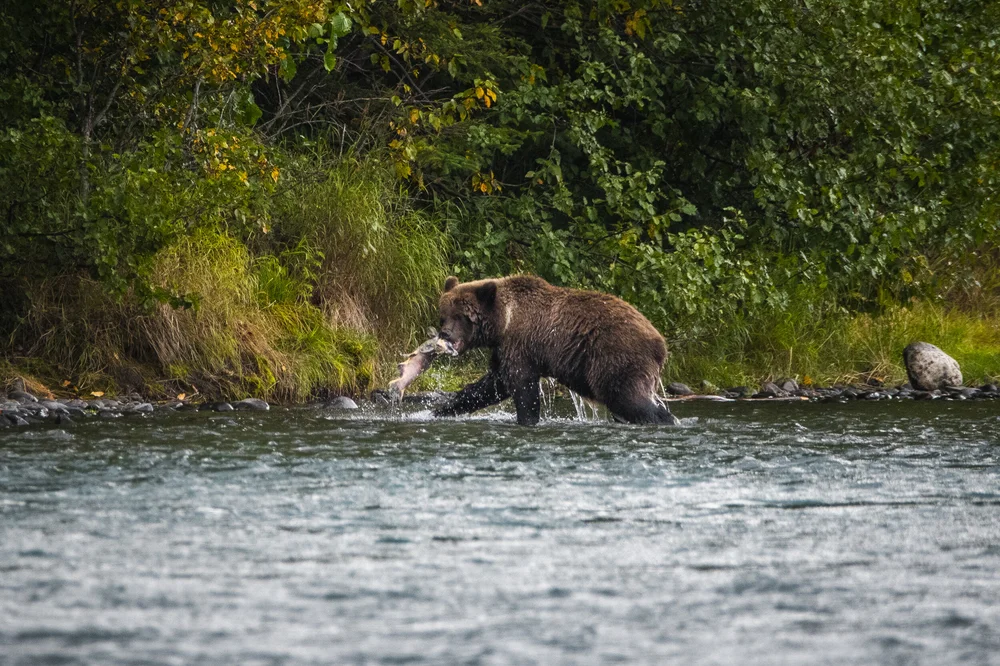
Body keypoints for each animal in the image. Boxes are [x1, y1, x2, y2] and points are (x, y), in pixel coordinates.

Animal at [432, 274, 679, 426]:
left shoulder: (520, 346)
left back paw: (666, 419)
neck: (504, 322)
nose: (445, 334)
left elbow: (523, 388)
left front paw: (527, 419)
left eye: (462, 316)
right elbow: (490, 386)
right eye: (444, 315)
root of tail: (660, 342)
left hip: (616, 356)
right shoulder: (503, 350)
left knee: (630, 399)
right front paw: (441, 409)